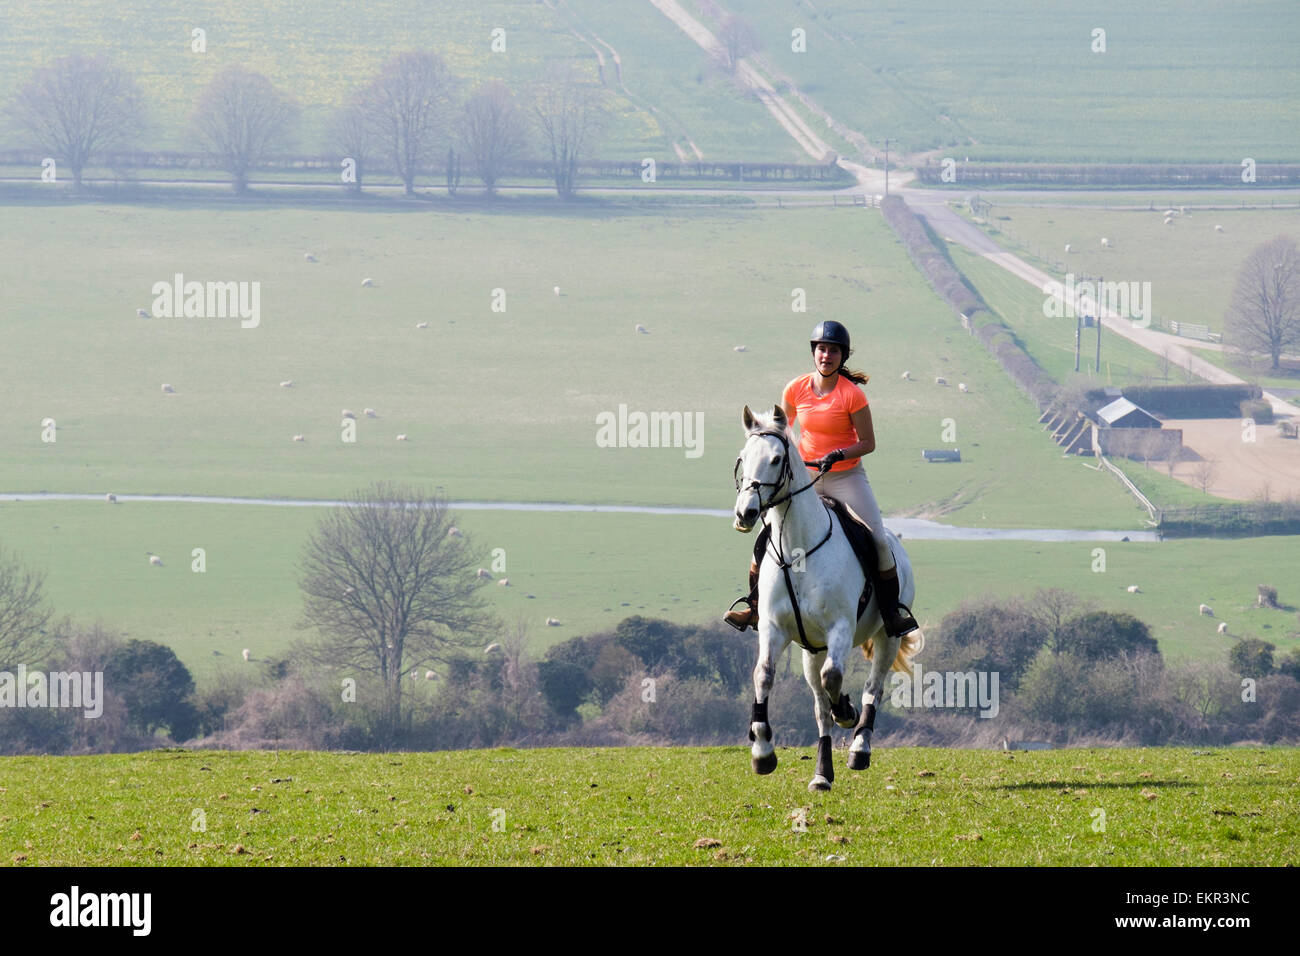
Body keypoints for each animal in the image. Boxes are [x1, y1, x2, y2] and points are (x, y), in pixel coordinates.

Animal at [732, 404, 924, 792]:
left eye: (776, 459)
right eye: (743, 457)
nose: (745, 513)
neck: (797, 550)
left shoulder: (840, 628)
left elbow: (835, 677)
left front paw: (846, 711)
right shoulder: (773, 628)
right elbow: (764, 676)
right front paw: (762, 752)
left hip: (887, 638)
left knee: (873, 688)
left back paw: (860, 747)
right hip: (811, 648)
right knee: (820, 709)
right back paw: (822, 774)